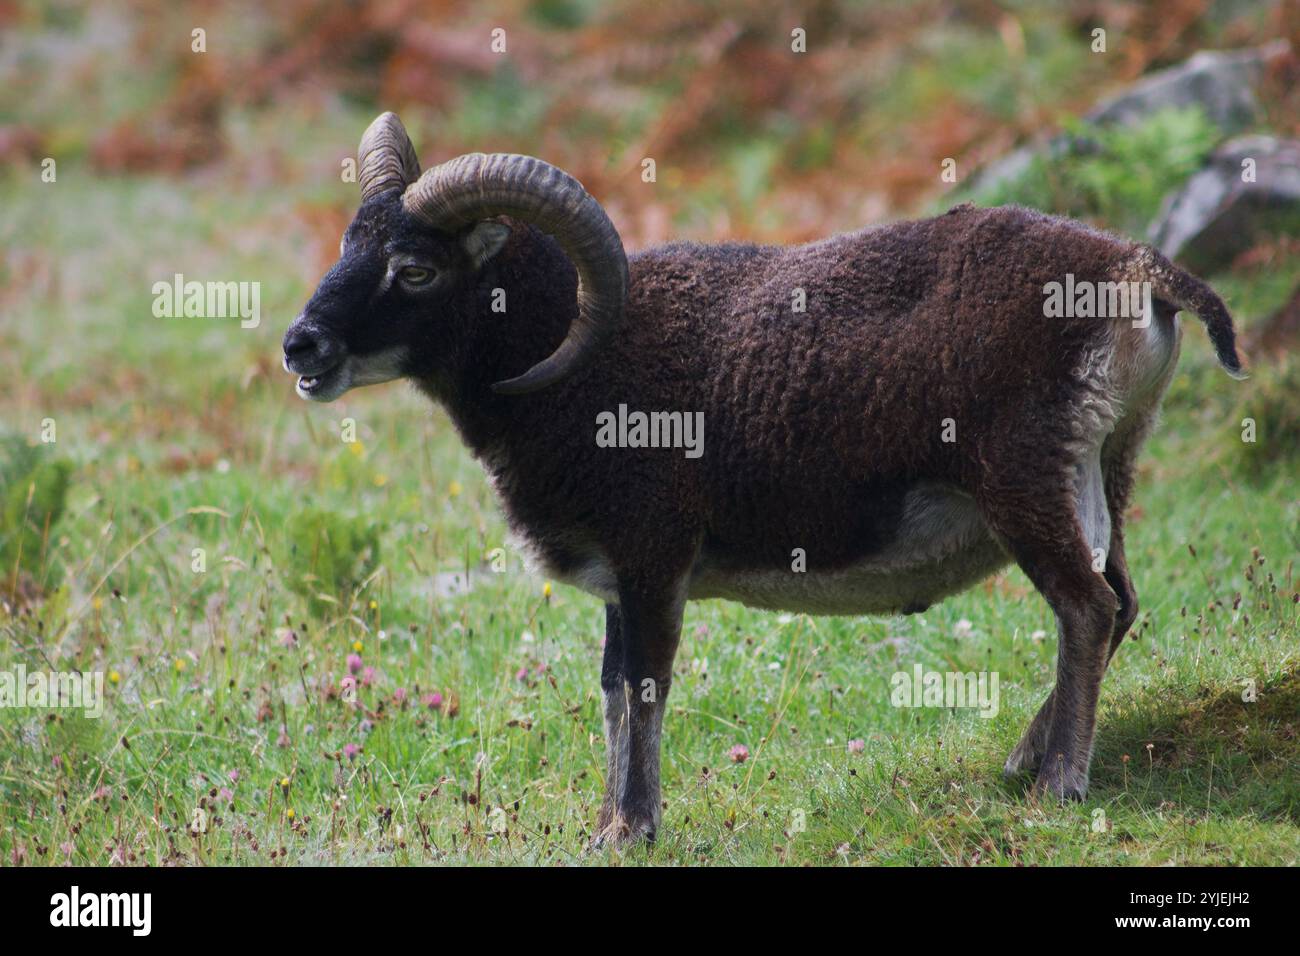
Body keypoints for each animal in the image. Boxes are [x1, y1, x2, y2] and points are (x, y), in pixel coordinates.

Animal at [283, 112, 1245, 846]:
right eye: (348, 245)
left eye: (416, 268)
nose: (303, 347)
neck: (570, 360)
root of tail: (1140, 273)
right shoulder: (618, 577)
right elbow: (612, 692)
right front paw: (606, 827)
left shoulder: (653, 555)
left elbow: (645, 686)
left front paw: (634, 830)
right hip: (1106, 465)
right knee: (1120, 600)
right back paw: (1022, 762)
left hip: (1028, 478)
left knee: (1086, 606)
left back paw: (1057, 786)